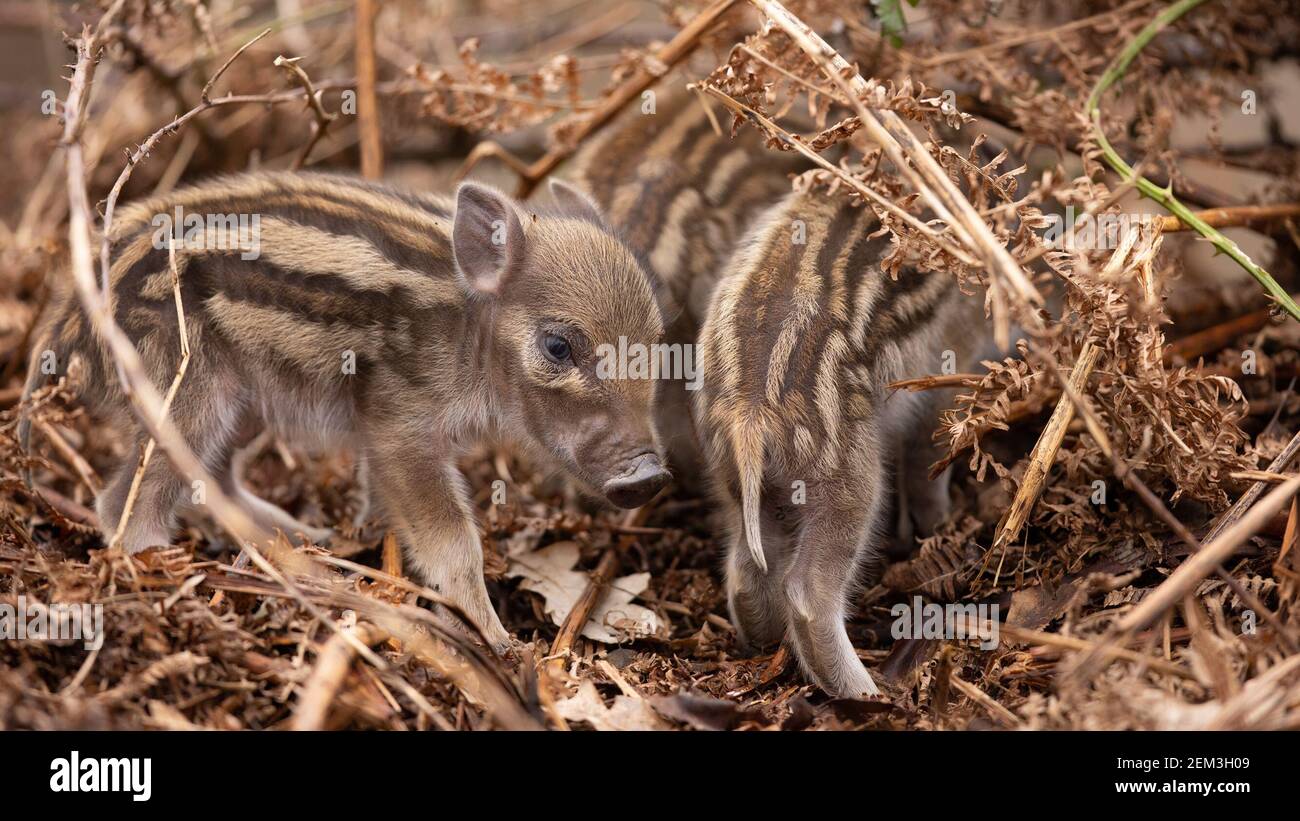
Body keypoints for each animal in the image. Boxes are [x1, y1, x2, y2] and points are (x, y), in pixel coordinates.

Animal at [20, 171, 670, 653]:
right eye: (558, 346)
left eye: (658, 343)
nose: (650, 474)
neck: (468, 331)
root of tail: (68, 326)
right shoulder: (398, 428)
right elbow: (454, 542)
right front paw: (502, 644)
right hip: (185, 392)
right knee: (124, 501)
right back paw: (171, 573)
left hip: (245, 402)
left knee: (216, 480)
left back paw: (301, 543)